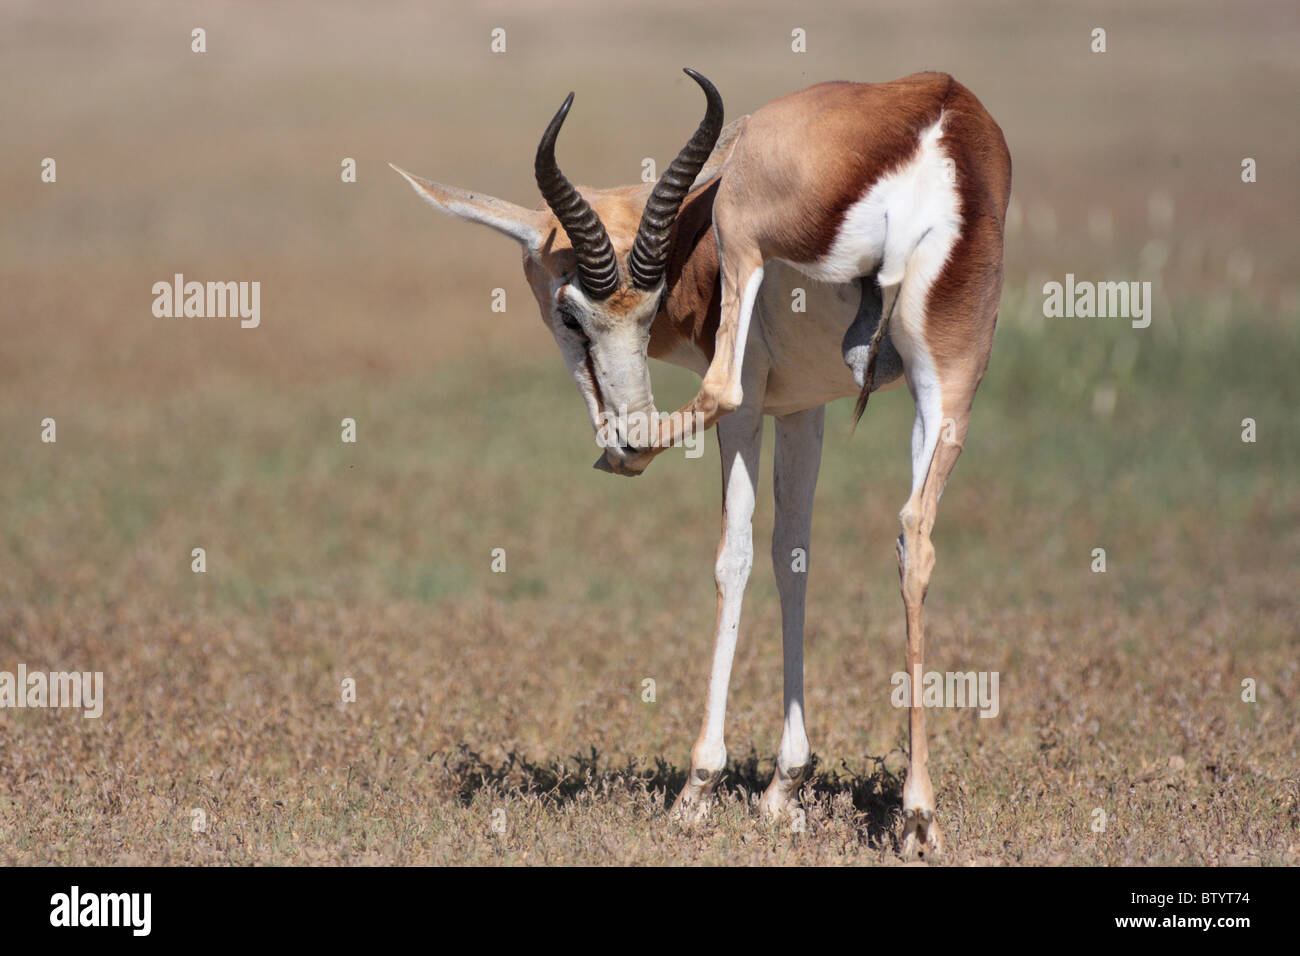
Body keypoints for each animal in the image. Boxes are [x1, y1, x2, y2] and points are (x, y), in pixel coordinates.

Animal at [392, 68, 1011, 858]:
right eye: (573, 313)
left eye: (644, 306)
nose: (625, 434)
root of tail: (939, 114)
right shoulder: (803, 407)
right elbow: (793, 555)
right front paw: (785, 788)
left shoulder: (757, 400)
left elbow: (737, 554)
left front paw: (704, 789)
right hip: (952, 380)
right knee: (916, 537)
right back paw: (917, 817)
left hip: (747, 250)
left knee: (721, 394)